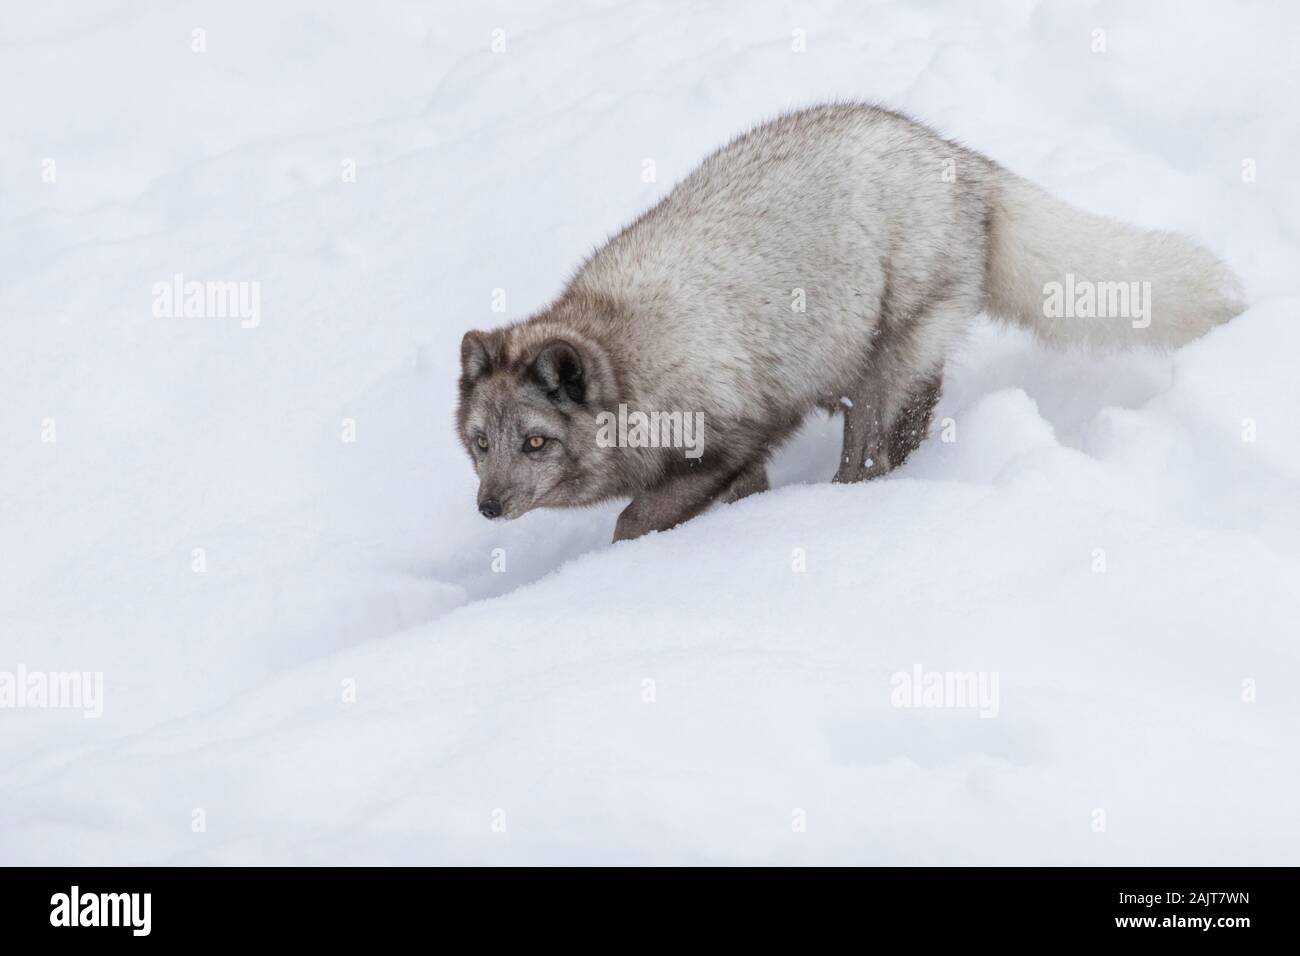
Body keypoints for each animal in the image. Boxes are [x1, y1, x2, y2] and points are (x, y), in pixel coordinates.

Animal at [457, 103, 1244, 542]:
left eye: (535, 441)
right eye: (478, 442)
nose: (488, 508)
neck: (626, 358)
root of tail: (958, 159)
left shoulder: (737, 432)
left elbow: (630, 524)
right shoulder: (733, 458)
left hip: (893, 355)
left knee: (878, 450)